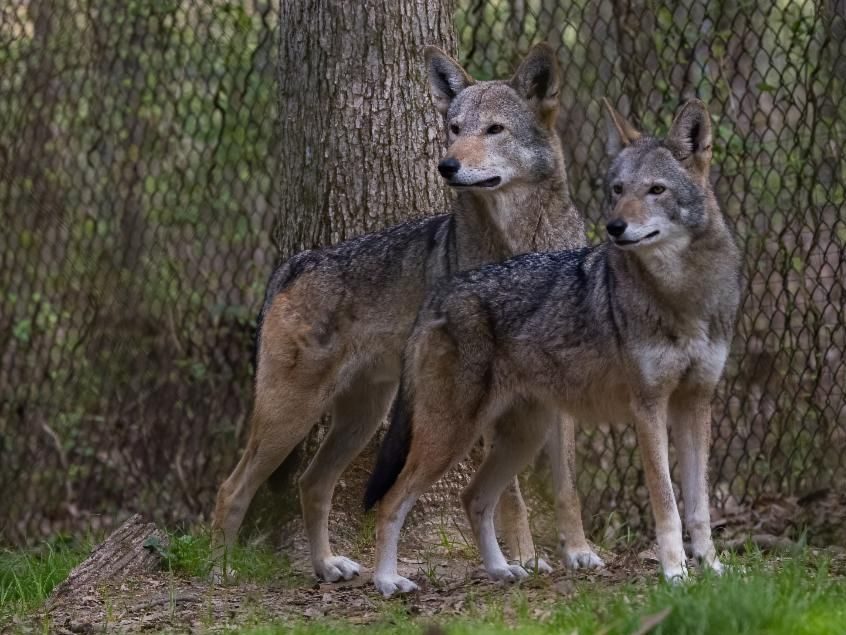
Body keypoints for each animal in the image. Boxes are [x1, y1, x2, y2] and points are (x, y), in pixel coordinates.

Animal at [211, 43, 602, 583]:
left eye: (494, 129)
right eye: (454, 127)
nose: (447, 165)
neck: (520, 244)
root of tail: (298, 261)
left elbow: (566, 486)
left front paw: (578, 551)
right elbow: (512, 497)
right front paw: (524, 557)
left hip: (361, 418)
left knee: (311, 484)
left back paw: (327, 565)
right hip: (291, 416)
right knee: (232, 488)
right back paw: (220, 571)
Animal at [364, 98, 742, 597]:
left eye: (656, 190)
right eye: (617, 189)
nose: (615, 227)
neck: (683, 296)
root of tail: (439, 295)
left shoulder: (695, 404)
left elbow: (699, 508)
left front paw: (713, 570)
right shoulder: (648, 408)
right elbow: (667, 504)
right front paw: (675, 574)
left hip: (524, 436)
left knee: (474, 498)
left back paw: (503, 570)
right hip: (453, 435)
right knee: (392, 502)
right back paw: (388, 582)